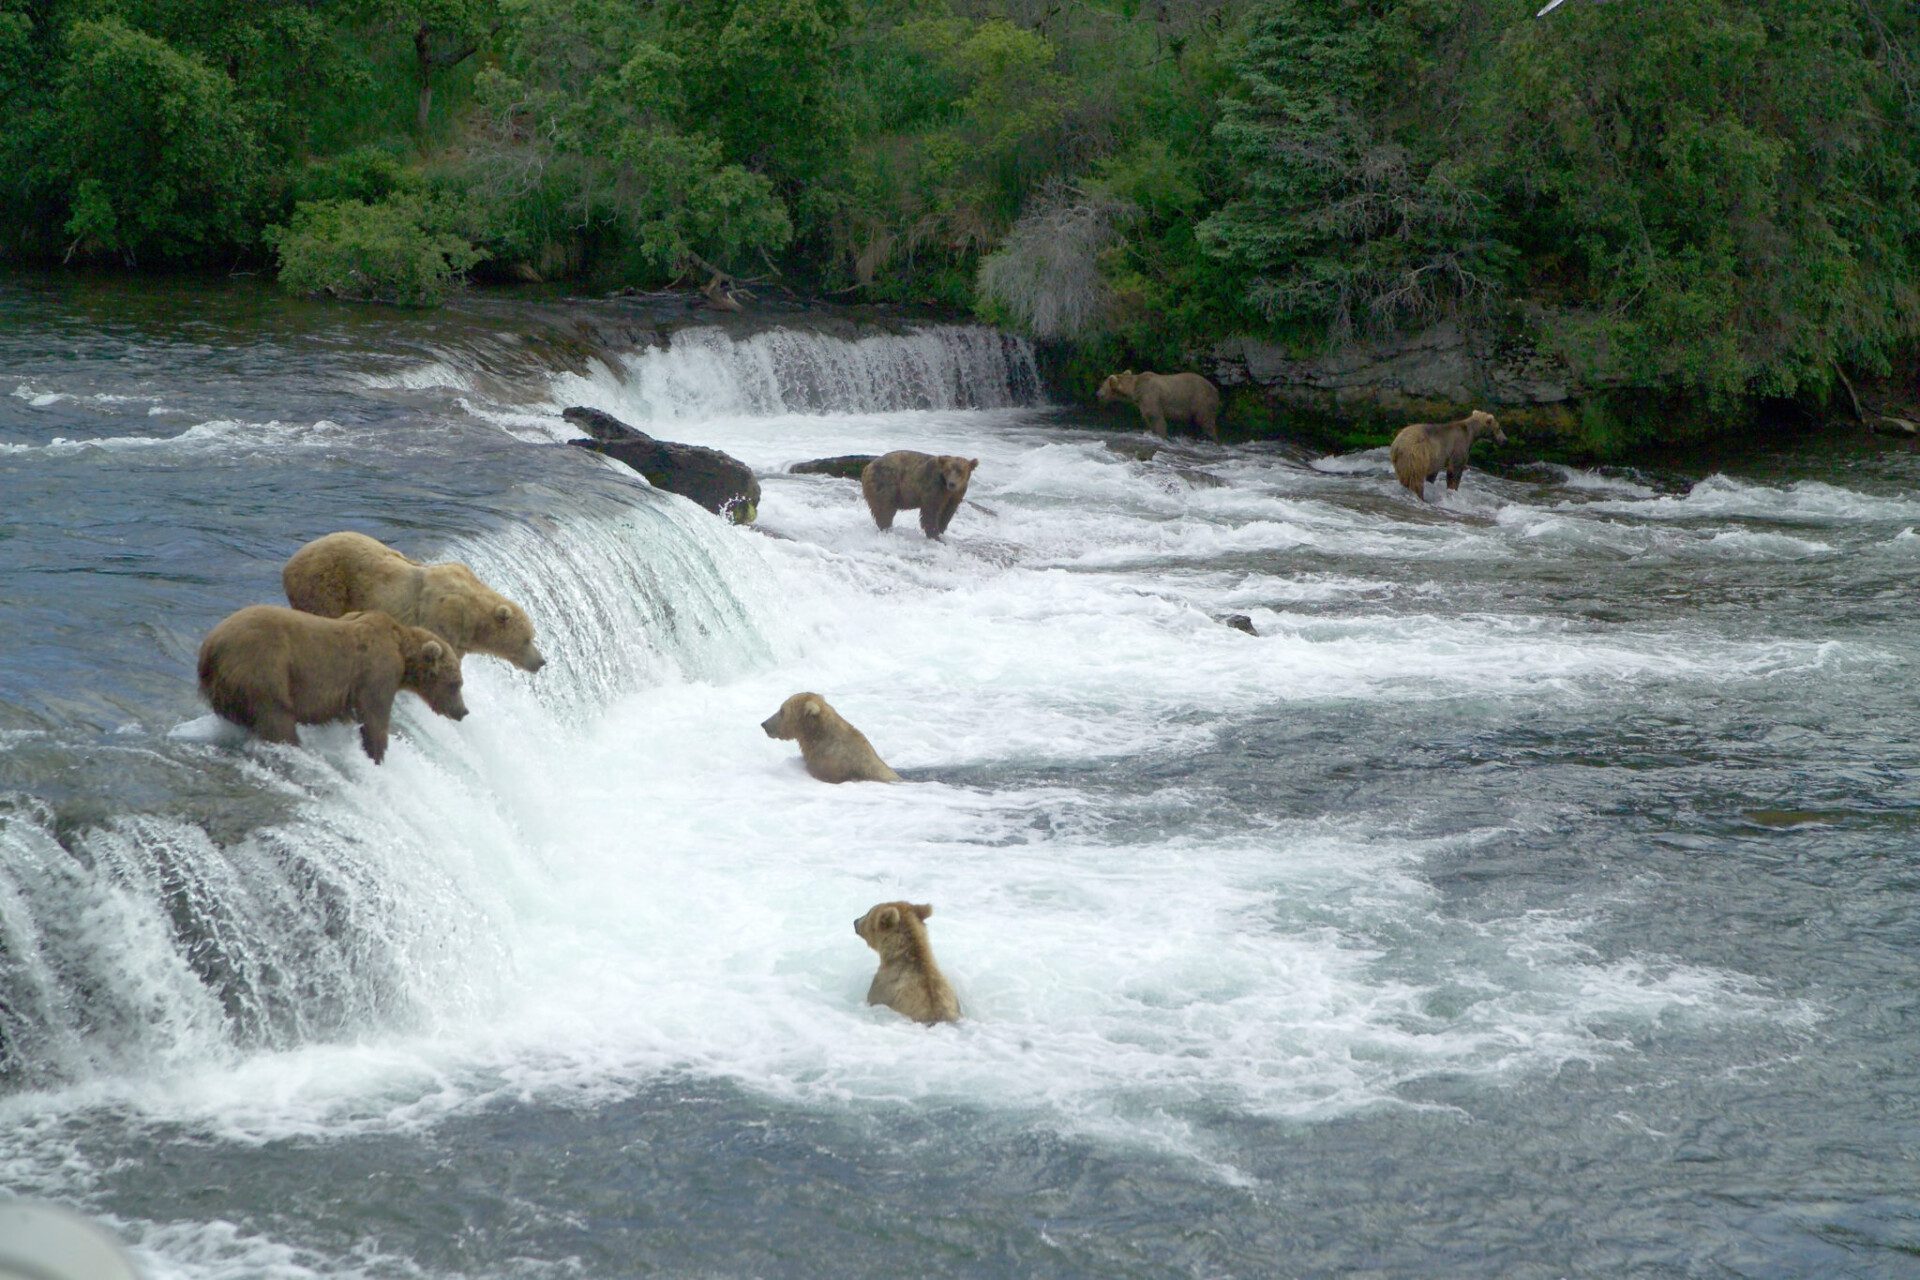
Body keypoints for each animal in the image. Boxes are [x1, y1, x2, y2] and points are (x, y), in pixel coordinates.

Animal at [197, 605, 468, 764]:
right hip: (263, 668)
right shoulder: (376, 671)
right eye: (456, 683)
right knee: (277, 717)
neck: (402, 652)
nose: (463, 711)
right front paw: (376, 753)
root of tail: (210, 646)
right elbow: (375, 715)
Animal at [282, 531, 545, 673]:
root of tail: (292, 560)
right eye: (527, 639)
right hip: (325, 584)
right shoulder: (443, 619)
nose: (541, 661)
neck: (472, 622)